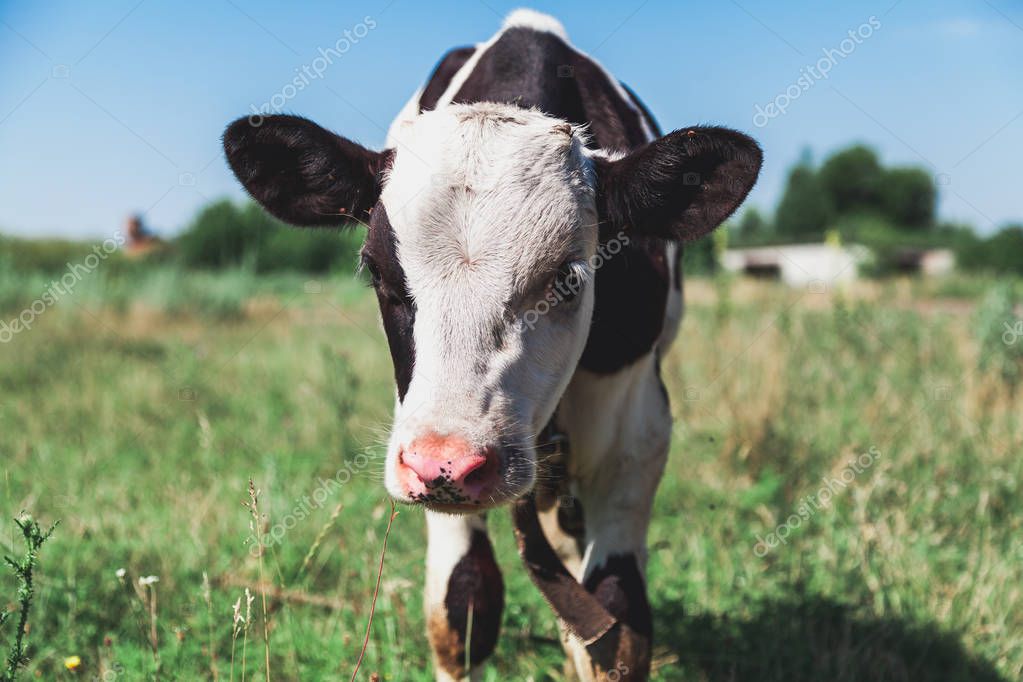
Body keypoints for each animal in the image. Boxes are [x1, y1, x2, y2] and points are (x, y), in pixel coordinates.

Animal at [223, 9, 761, 680]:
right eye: (377, 273)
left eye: (568, 278)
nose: (448, 464)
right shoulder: (420, 429)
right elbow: (464, 602)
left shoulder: (636, 434)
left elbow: (617, 622)